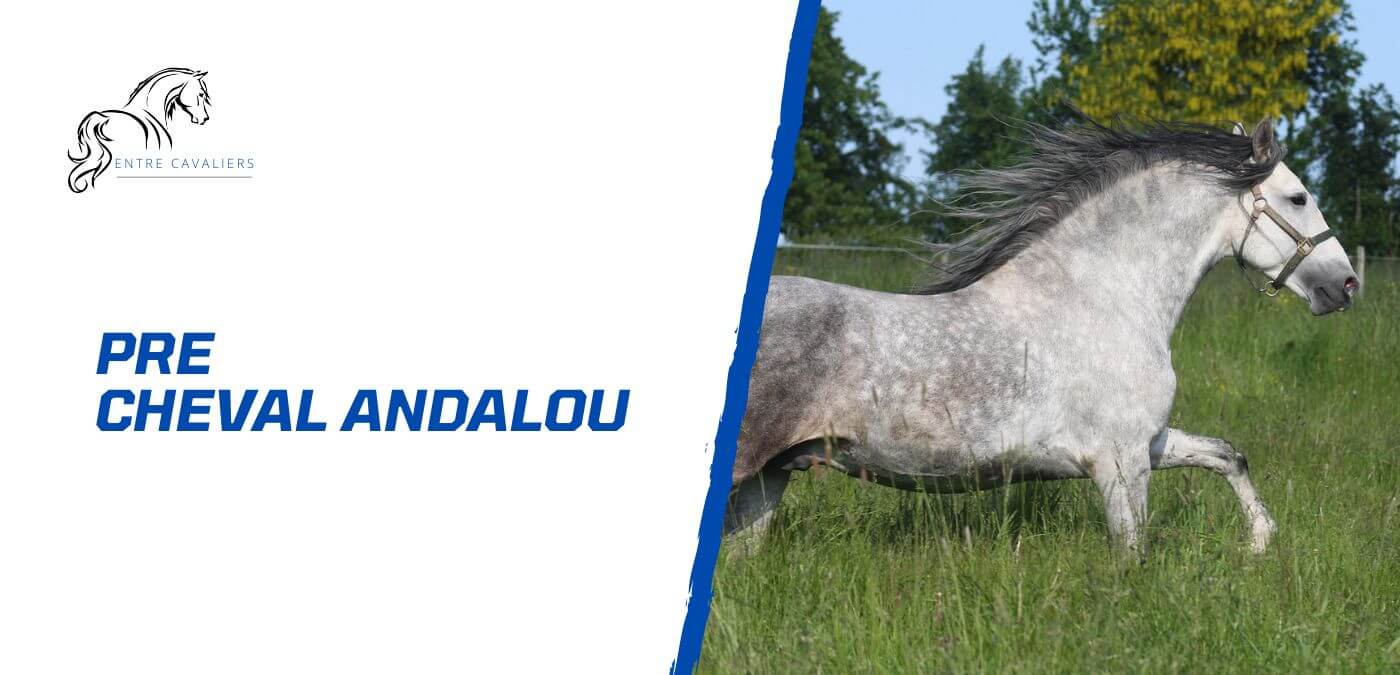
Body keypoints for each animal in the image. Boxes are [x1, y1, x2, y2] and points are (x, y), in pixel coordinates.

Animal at [728, 118, 1359, 556]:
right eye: (1299, 198)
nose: (1346, 284)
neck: (1105, 297)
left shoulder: (1147, 442)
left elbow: (1227, 454)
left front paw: (1260, 542)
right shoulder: (1120, 462)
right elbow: (1134, 555)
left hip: (769, 479)